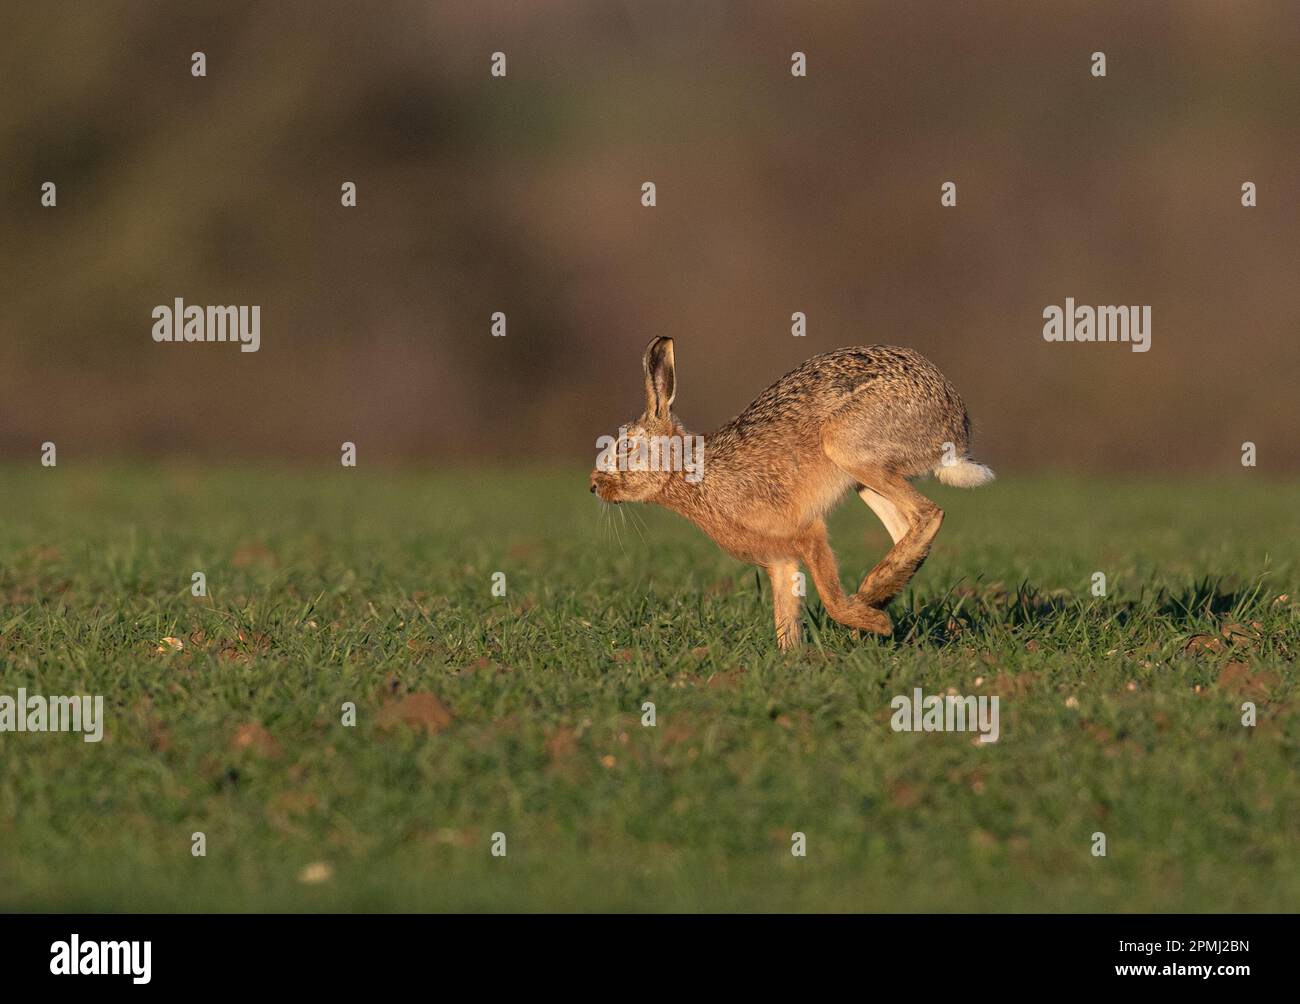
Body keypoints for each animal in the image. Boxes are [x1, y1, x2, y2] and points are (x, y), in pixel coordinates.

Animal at [589, 337, 994, 649]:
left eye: (625, 446)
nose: (594, 486)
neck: (693, 471)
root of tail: (955, 425)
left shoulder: (807, 532)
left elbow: (829, 597)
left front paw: (874, 625)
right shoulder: (780, 559)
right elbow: (785, 615)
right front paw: (792, 659)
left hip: (848, 444)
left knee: (929, 514)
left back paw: (871, 601)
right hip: (864, 475)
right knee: (906, 526)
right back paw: (879, 596)